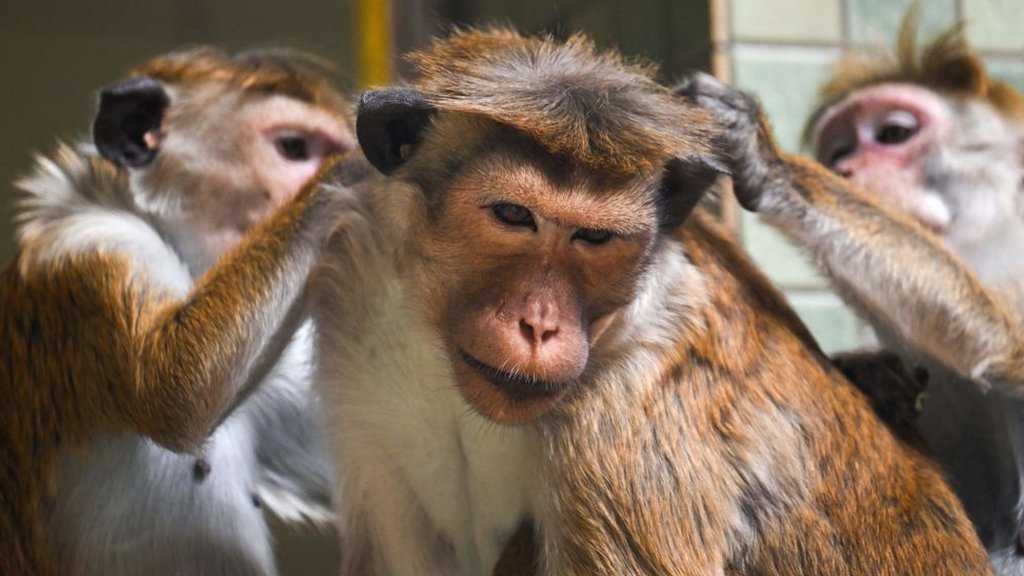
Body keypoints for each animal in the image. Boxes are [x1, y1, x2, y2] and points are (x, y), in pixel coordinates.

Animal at [677, 20, 1024, 573]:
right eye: (840, 150)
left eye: (893, 133)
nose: (845, 170)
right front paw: (870, 370)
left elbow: (1002, 341)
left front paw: (768, 161)